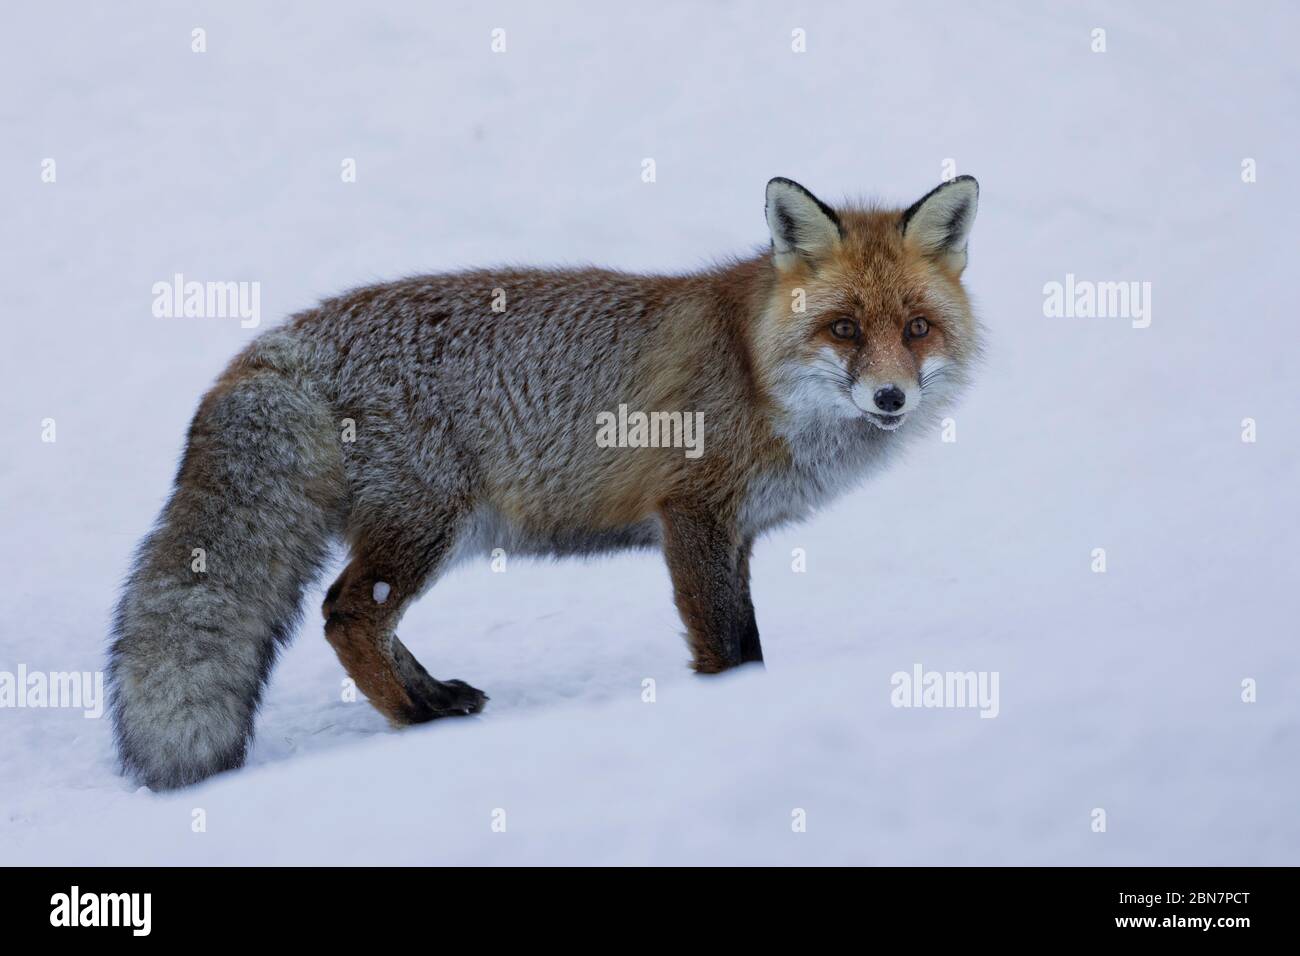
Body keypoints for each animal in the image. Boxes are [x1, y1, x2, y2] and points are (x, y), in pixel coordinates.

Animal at [108, 174, 982, 789]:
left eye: (916, 329)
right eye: (844, 329)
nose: (891, 398)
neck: (756, 371)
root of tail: (283, 342)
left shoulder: (735, 532)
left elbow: (749, 640)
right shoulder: (692, 514)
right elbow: (728, 648)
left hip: (442, 531)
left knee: (366, 620)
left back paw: (435, 699)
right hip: (430, 523)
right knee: (348, 613)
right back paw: (413, 720)